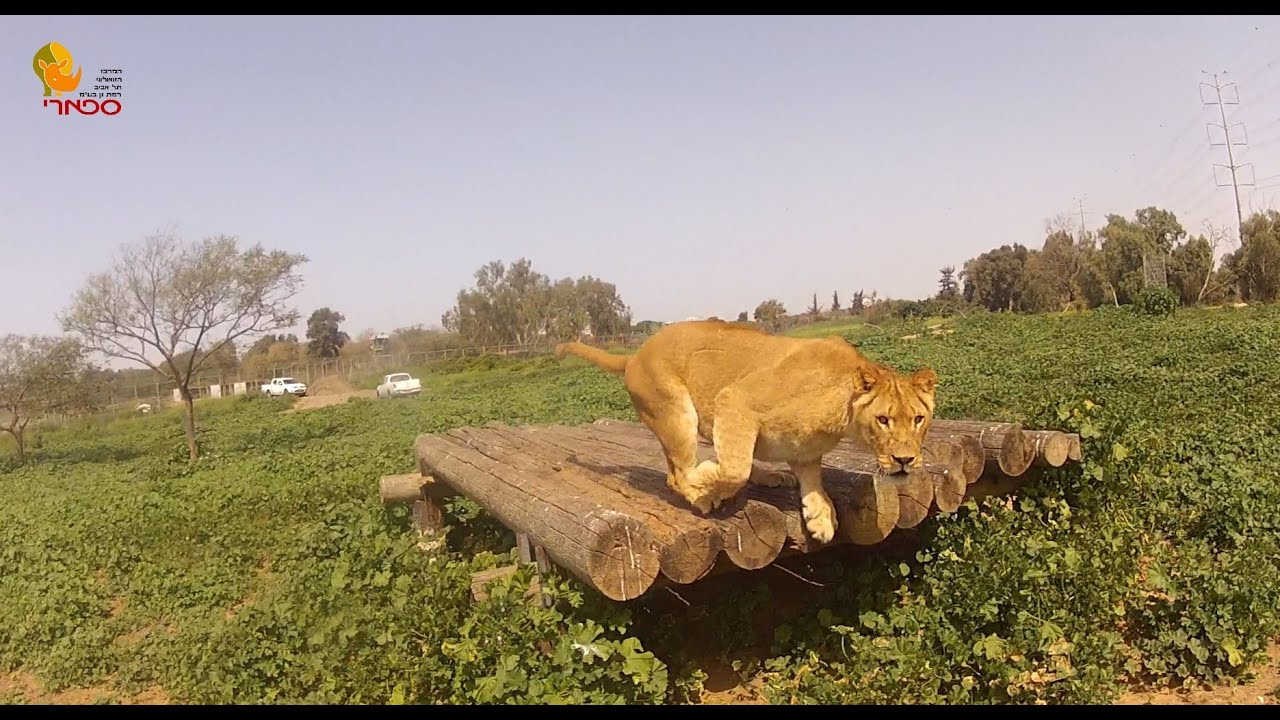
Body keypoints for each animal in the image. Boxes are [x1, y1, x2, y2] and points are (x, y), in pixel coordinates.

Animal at [555, 320, 939, 544]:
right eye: (884, 420)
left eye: (919, 419)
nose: (905, 461)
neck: (842, 409)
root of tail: (633, 356)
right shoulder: (735, 399)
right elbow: (732, 469)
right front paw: (705, 479)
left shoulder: (803, 449)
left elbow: (813, 483)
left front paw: (821, 516)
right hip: (678, 413)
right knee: (676, 475)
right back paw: (700, 492)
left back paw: (767, 477)